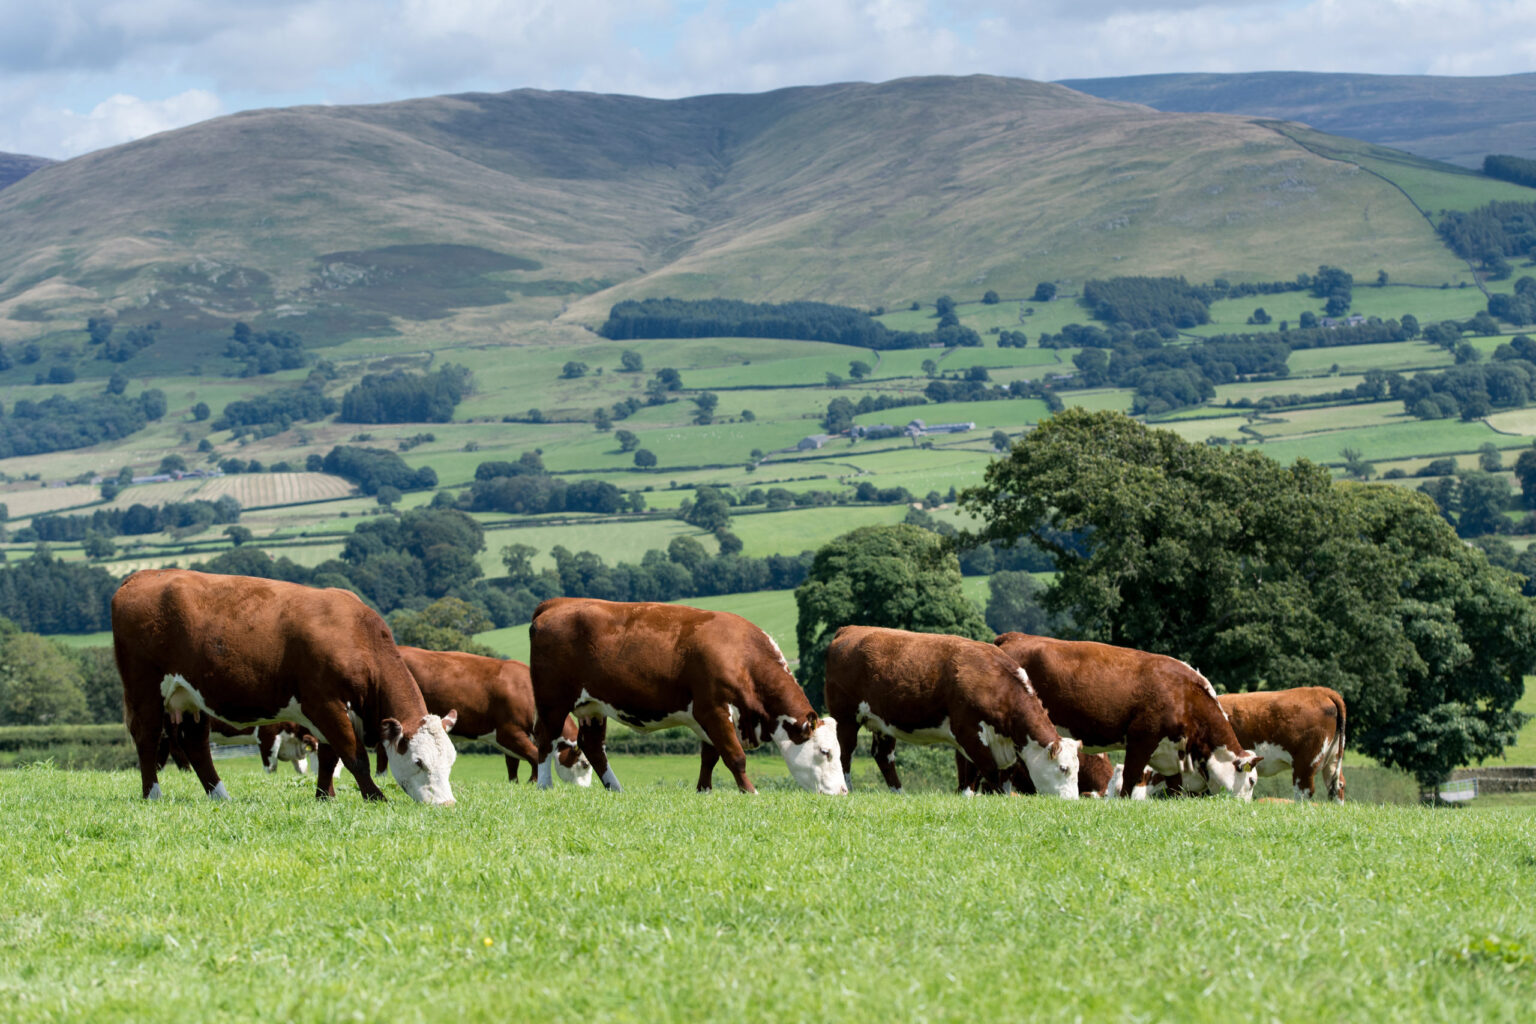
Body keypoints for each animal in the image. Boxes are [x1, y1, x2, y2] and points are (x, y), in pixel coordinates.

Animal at [112, 568, 458, 804]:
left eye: (451, 761)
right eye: (419, 761)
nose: (447, 804)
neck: (356, 636)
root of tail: (142, 576)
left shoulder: (327, 713)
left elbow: (329, 756)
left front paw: (324, 797)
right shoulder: (325, 703)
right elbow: (354, 755)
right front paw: (376, 798)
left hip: (190, 697)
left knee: (195, 743)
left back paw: (221, 795)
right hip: (145, 687)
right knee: (147, 737)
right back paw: (153, 794)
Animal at [355, 647, 594, 788]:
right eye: (584, 764)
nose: (586, 789)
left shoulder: (508, 738)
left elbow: (512, 763)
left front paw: (515, 783)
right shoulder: (509, 732)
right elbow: (534, 756)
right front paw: (532, 782)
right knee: (382, 749)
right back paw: (381, 777)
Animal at [528, 598, 846, 795]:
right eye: (825, 752)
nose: (843, 792)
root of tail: (557, 603)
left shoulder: (708, 718)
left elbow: (710, 756)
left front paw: (704, 791)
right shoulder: (712, 709)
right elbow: (735, 756)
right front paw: (750, 792)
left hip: (592, 706)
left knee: (593, 745)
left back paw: (616, 789)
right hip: (552, 701)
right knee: (545, 738)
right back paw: (544, 785)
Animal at [824, 626, 1080, 797]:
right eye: (1063, 768)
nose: (1071, 801)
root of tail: (850, 630)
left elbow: (987, 773)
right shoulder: (969, 732)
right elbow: (986, 770)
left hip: (881, 724)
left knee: (883, 756)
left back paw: (899, 792)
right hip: (845, 718)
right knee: (845, 753)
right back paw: (848, 788)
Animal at [994, 633, 1261, 800]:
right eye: (1251, 782)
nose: (1242, 807)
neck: (1185, 696)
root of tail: (1013, 636)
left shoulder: (1170, 752)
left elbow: (1175, 785)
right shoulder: (1141, 738)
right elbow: (1131, 776)